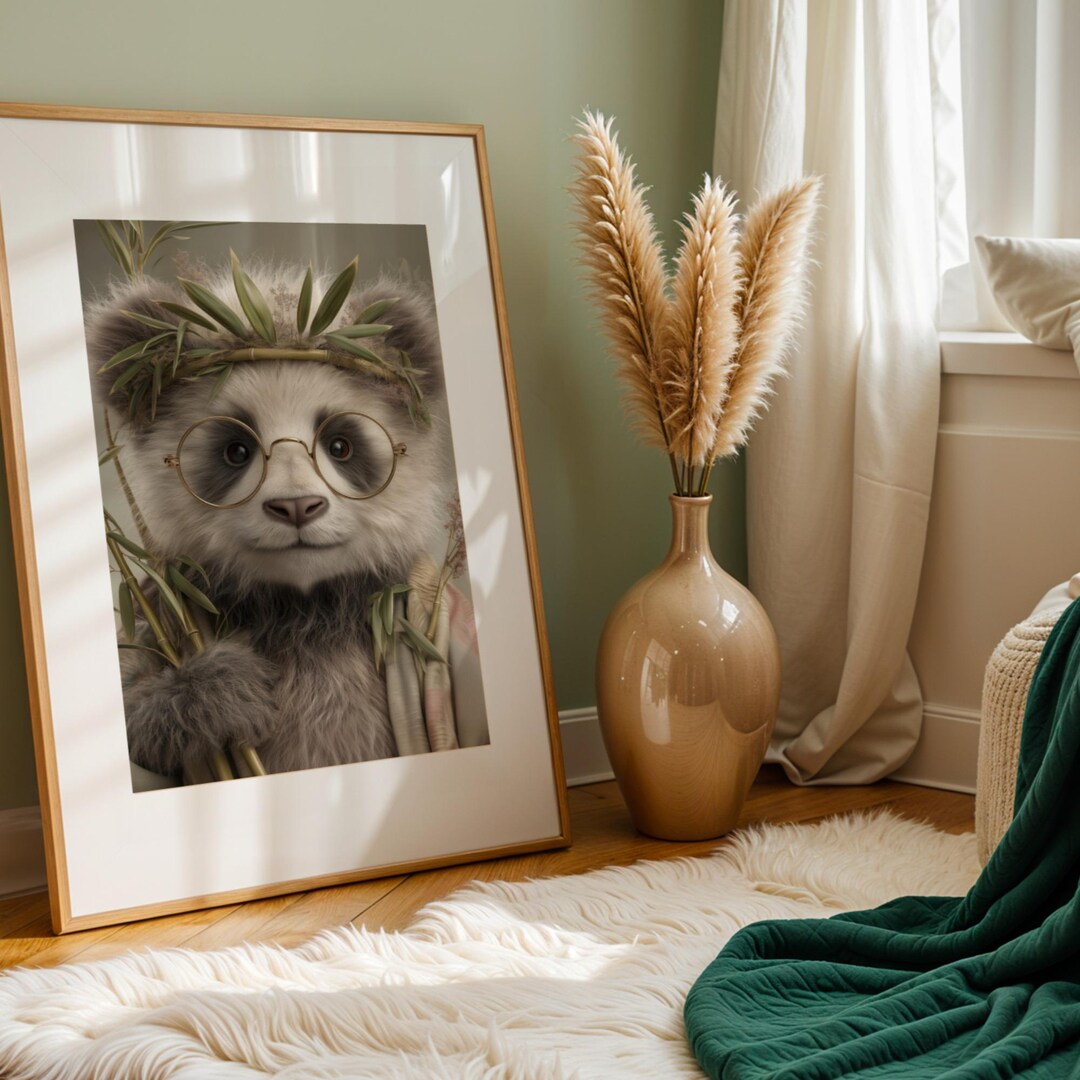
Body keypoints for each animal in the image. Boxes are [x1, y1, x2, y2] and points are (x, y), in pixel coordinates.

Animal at [84, 262, 481, 784]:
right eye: (236, 450)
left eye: (340, 445)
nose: (297, 507)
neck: (303, 611)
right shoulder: (154, 616)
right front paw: (215, 691)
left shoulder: (433, 615)